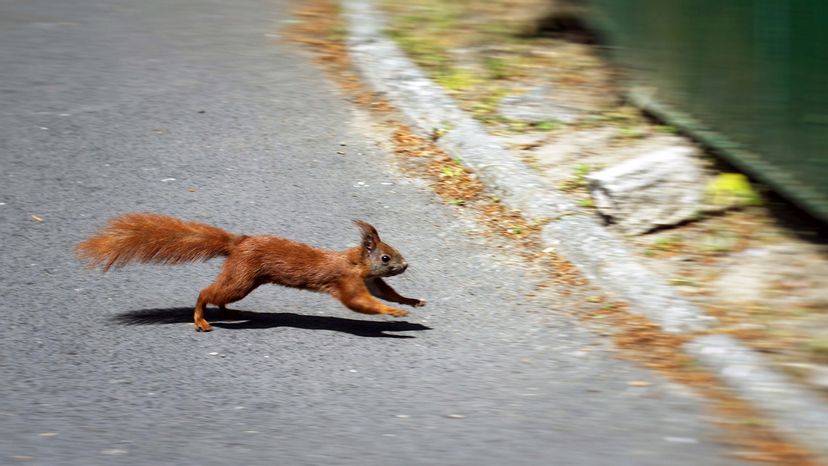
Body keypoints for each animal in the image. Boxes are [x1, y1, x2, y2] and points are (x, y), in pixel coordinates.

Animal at [75, 213, 426, 330]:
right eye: (386, 257)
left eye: (394, 253)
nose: (406, 265)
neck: (355, 262)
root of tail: (238, 243)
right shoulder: (346, 280)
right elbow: (361, 303)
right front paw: (394, 314)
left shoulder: (371, 280)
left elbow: (386, 292)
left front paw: (412, 301)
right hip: (243, 278)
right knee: (206, 292)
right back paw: (201, 319)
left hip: (244, 280)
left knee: (220, 295)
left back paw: (226, 312)